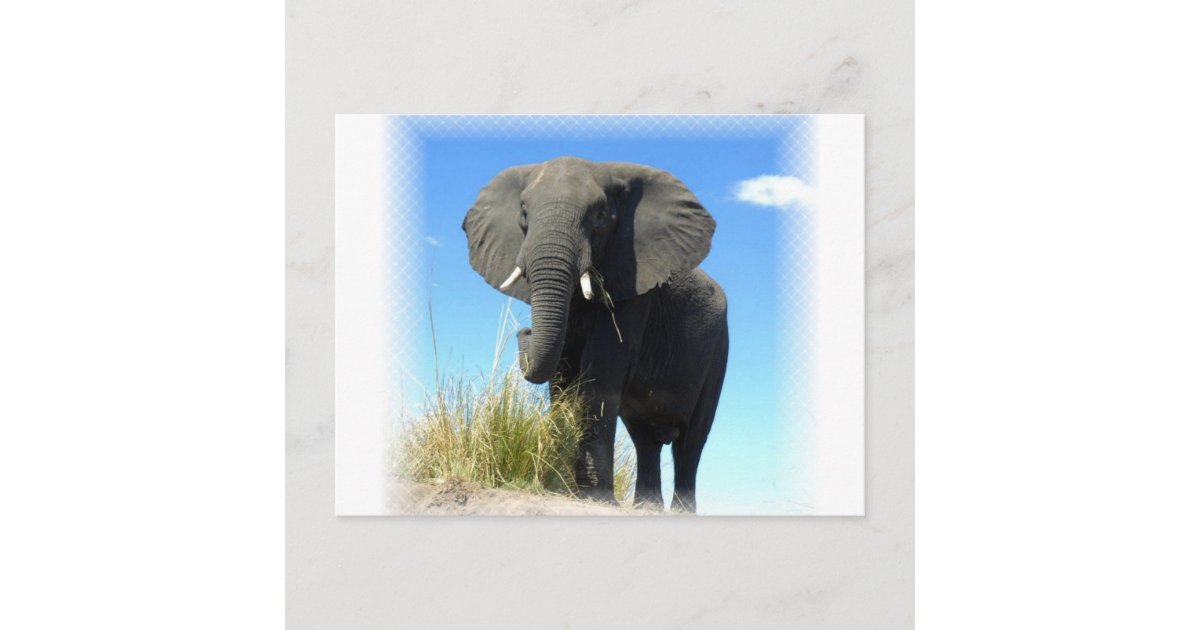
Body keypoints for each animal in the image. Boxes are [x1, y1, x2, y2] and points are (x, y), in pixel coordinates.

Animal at [462, 156, 728, 512]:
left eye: (601, 216)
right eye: (524, 214)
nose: (525, 330)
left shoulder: (634, 283)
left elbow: (601, 368)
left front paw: (594, 497)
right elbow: (562, 373)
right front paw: (562, 489)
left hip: (718, 348)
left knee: (691, 440)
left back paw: (678, 512)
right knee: (645, 438)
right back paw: (646, 509)